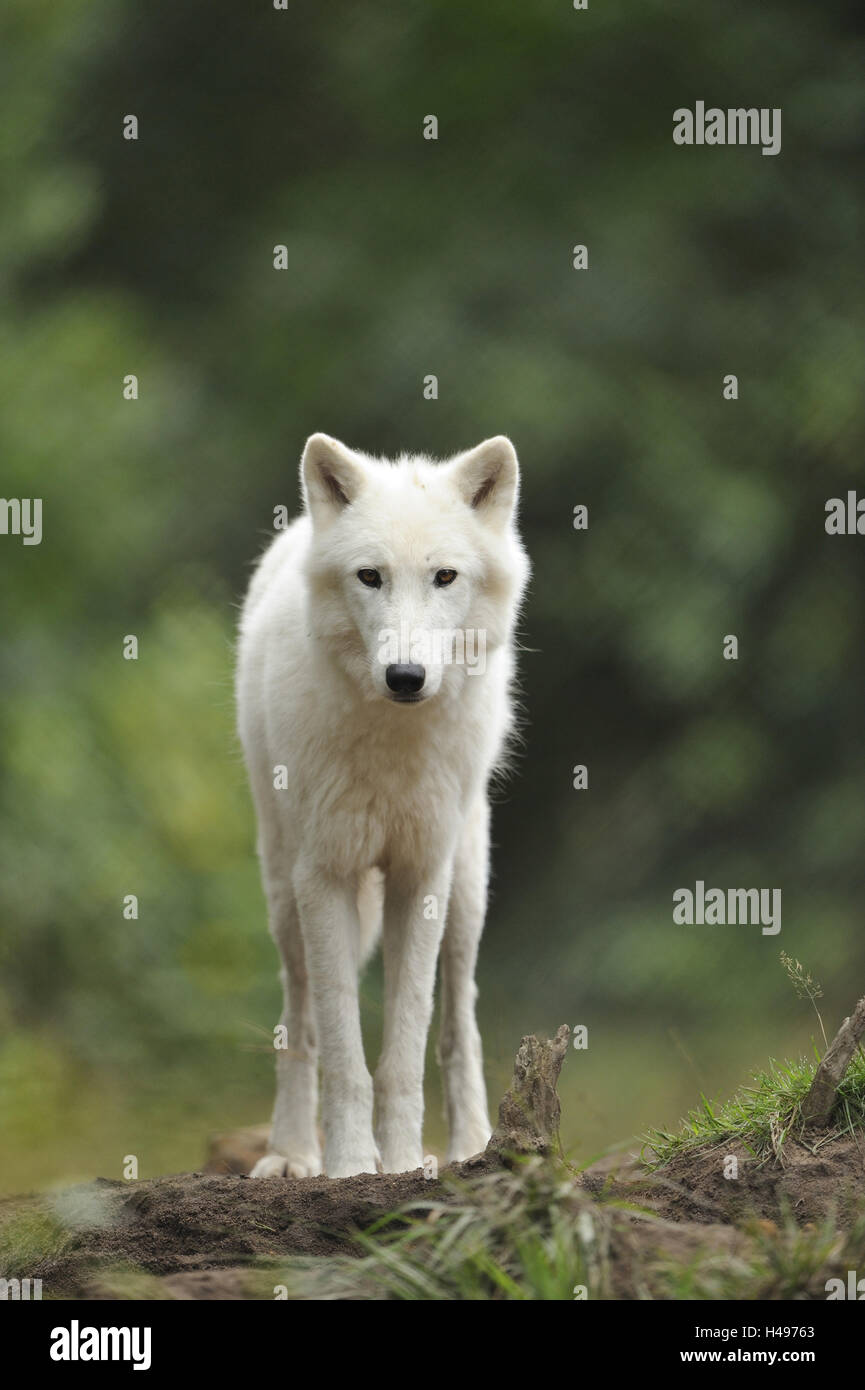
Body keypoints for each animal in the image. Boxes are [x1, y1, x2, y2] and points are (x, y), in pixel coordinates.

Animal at [236, 433, 529, 1178]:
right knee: (299, 1024)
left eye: (444, 577)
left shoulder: (419, 876)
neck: (392, 745)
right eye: (370, 577)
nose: (405, 676)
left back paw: (472, 1145)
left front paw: (398, 1163)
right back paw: (292, 1153)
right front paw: (348, 1165)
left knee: (459, 1026)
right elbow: (343, 1049)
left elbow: (405, 1044)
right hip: (282, 895)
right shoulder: (325, 877)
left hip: (467, 893)